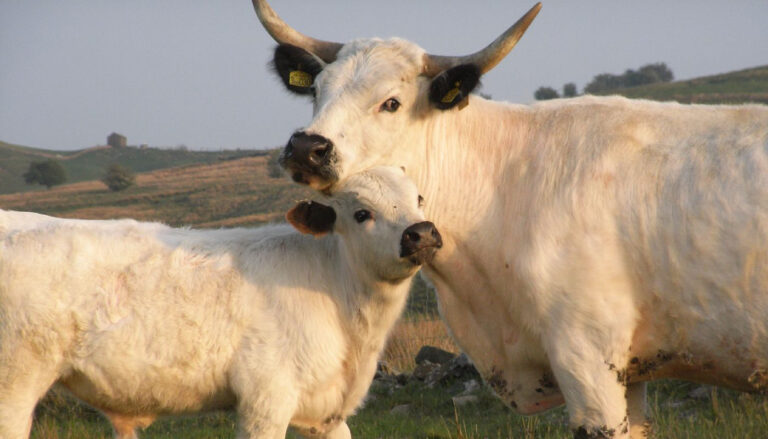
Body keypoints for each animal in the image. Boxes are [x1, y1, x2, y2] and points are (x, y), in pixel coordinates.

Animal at [0, 166, 442, 439]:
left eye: (419, 197)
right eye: (361, 213)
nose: (421, 233)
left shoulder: (327, 413)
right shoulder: (265, 399)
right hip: (15, 384)